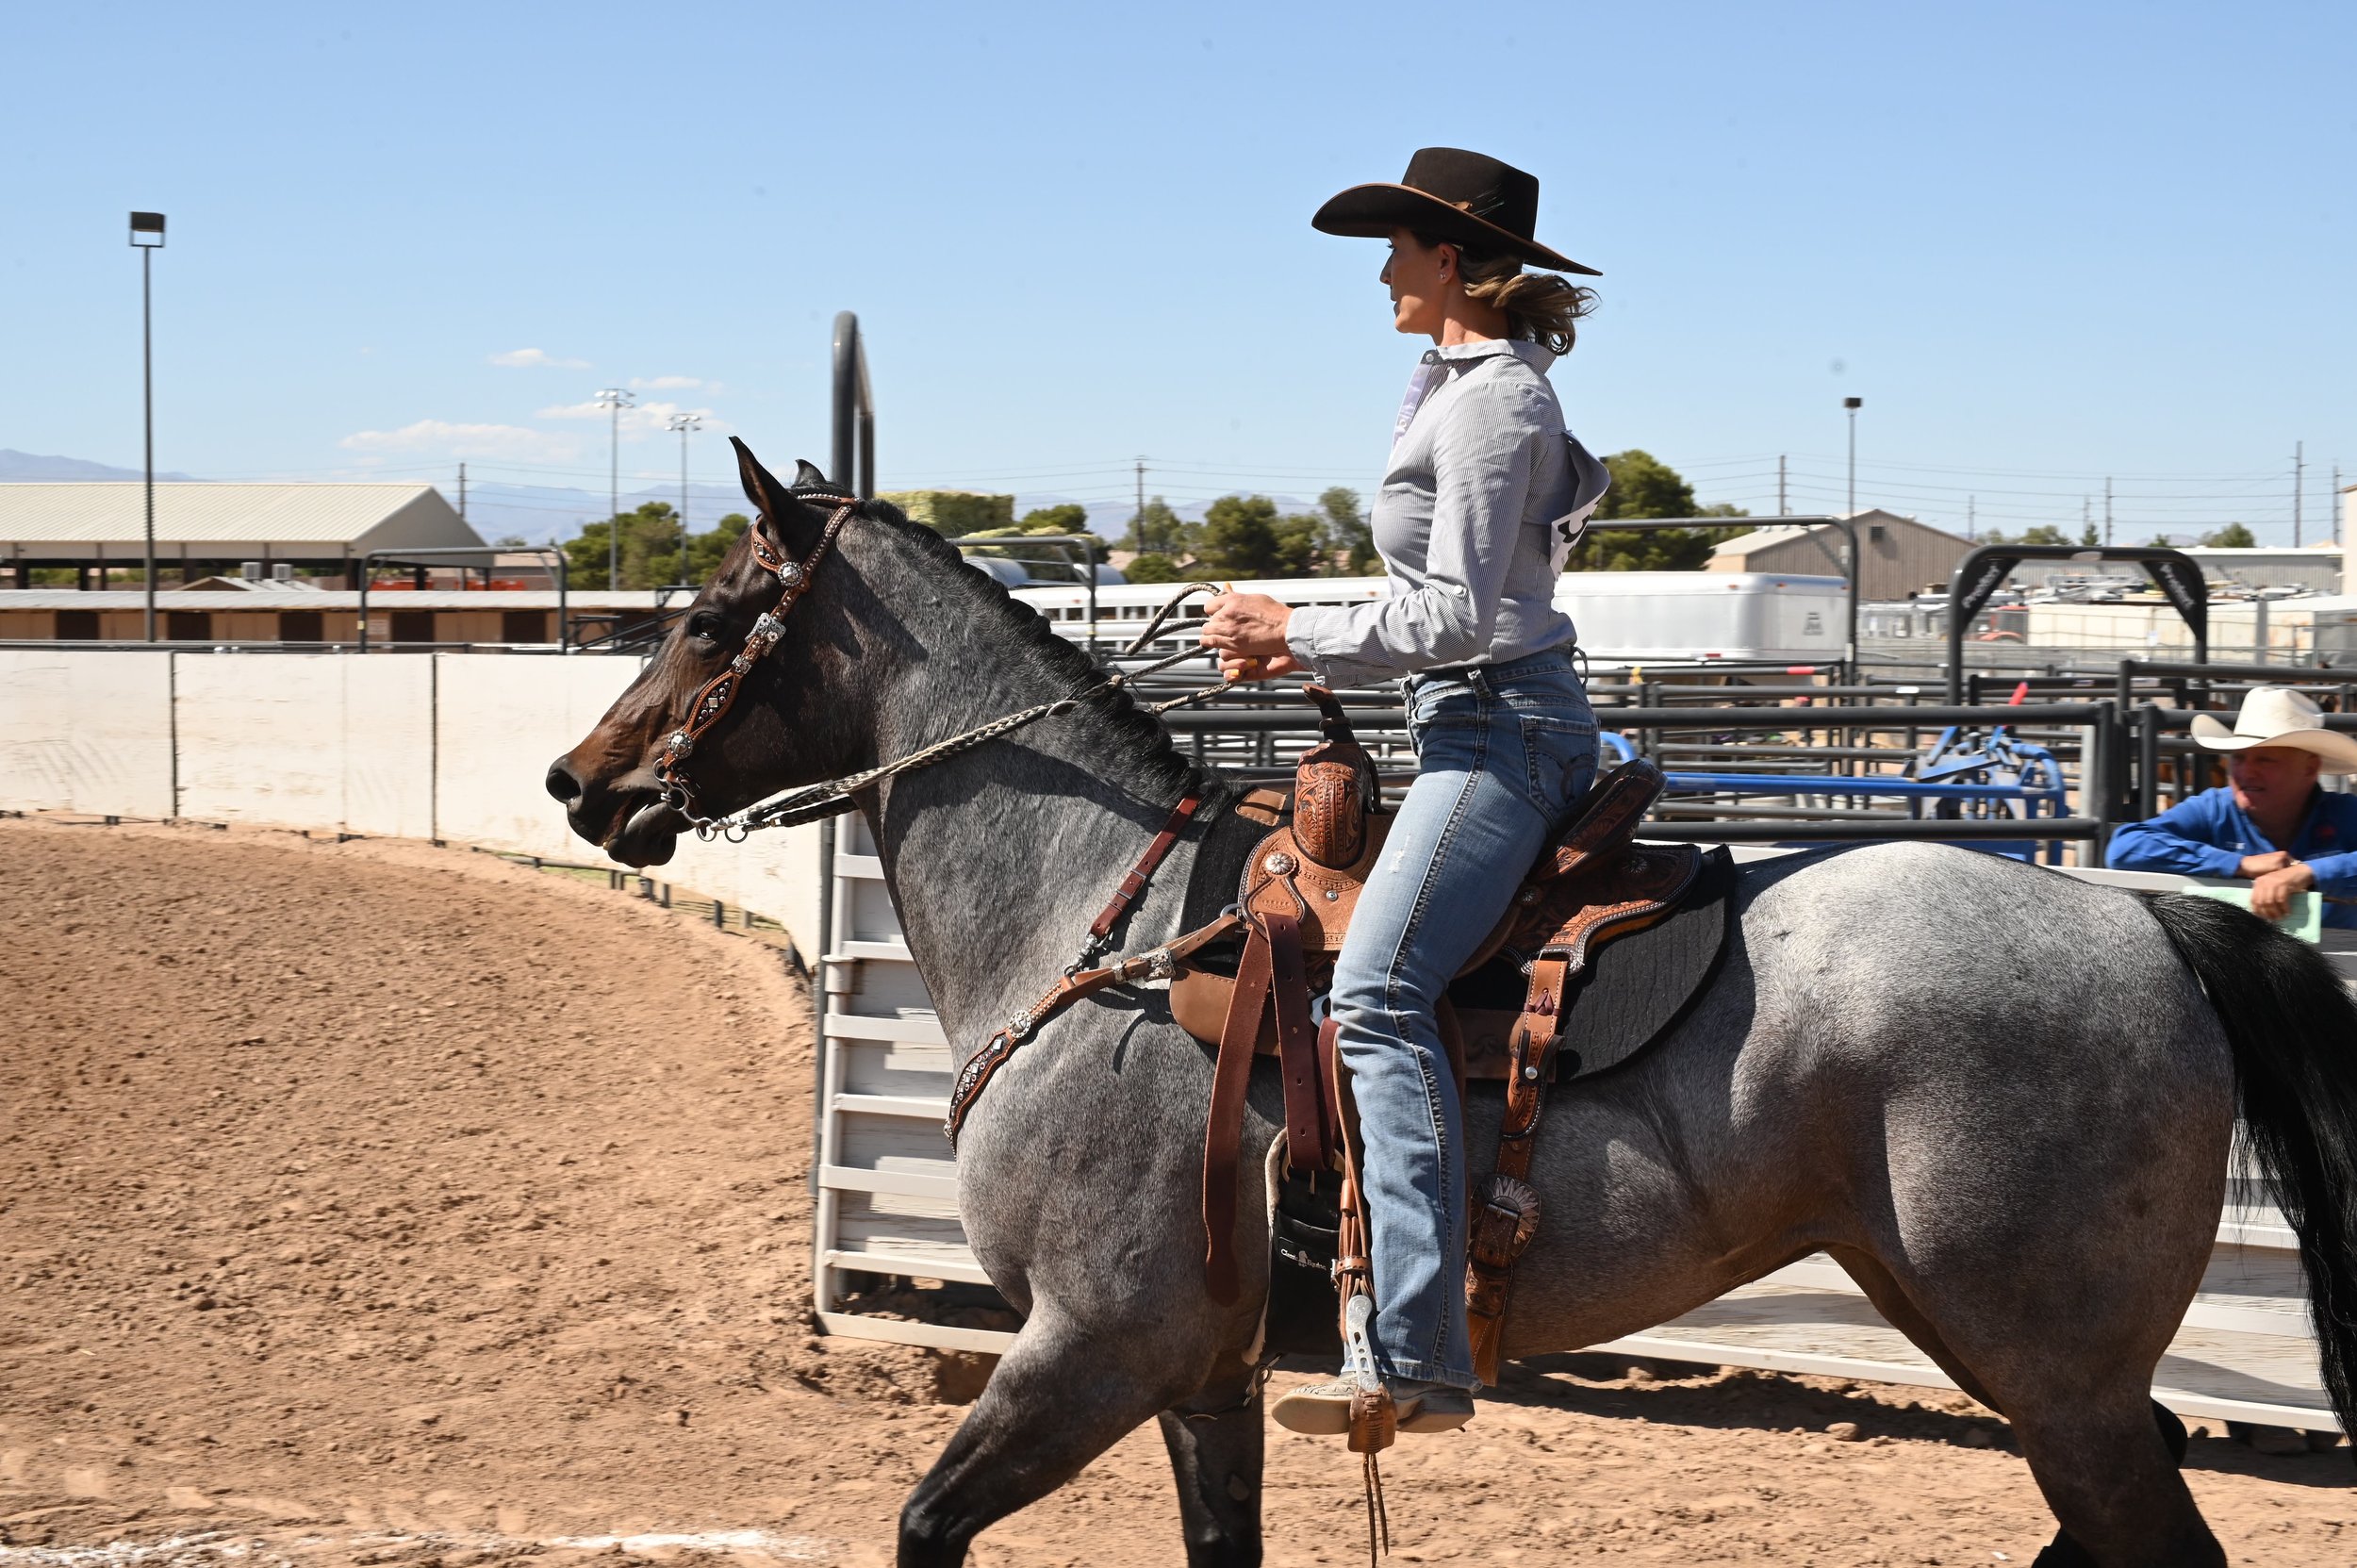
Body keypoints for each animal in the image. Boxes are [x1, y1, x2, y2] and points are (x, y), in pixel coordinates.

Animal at [548, 442, 2357, 1568]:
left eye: (709, 617)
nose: (578, 782)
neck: (1086, 915)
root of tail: (2137, 918)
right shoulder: (1201, 1372)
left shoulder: (1091, 1346)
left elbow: (926, 1519)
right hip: (2013, 1347)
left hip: (2058, 1369)